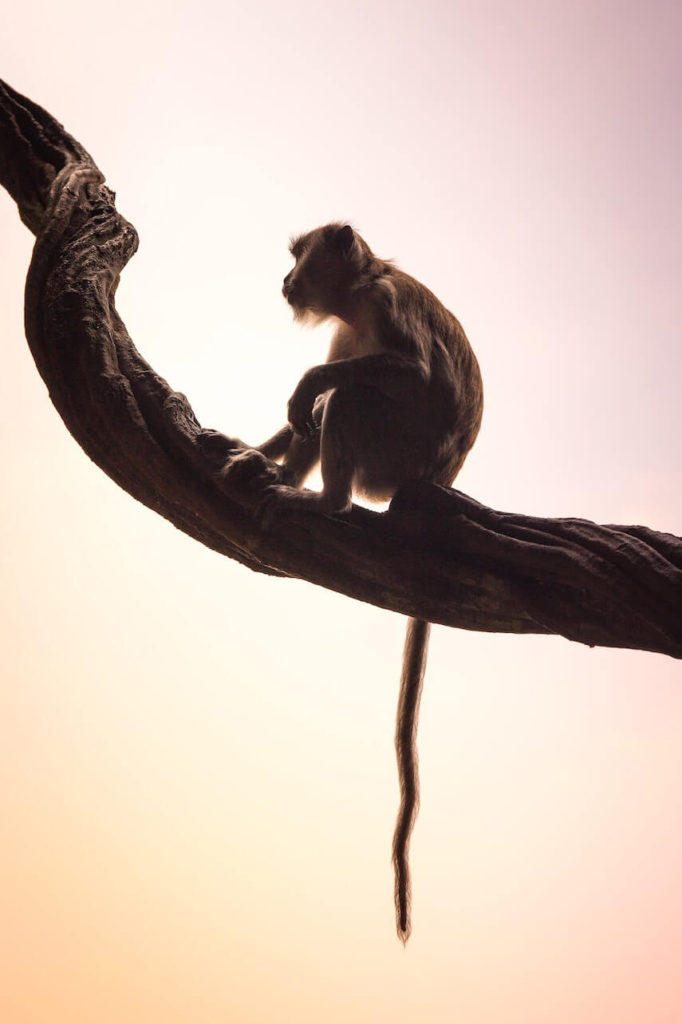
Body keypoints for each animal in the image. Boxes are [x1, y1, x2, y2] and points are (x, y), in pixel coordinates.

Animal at [256, 223, 483, 941]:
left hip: (394, 458)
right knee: (331, 410)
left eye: (299, 256)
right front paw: (257, 451)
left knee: (350, 399)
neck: (355, 302)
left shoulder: (385, 304)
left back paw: (324, 501)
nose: (286, 279)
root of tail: (437, 481)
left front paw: (306, 387)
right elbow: (307, 408)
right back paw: (284, 477)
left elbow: (408, 374)